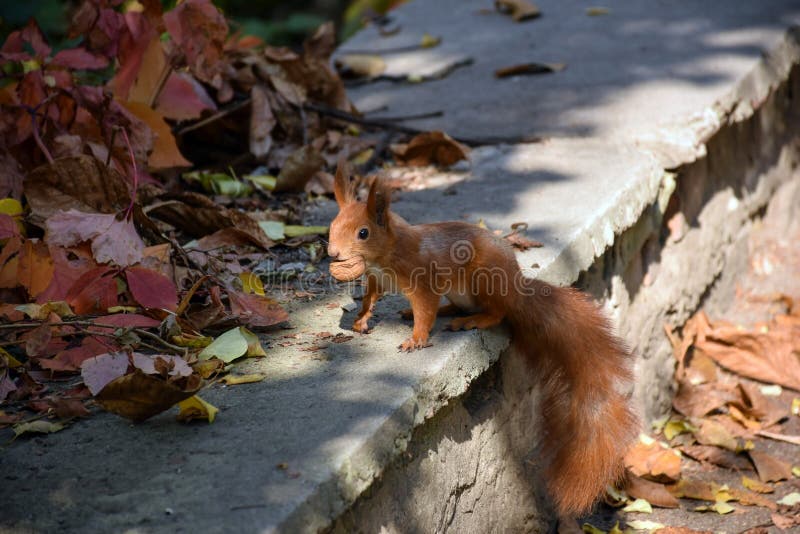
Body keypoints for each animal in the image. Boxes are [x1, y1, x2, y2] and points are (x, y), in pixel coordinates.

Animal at [326, 162, 639, 518]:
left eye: (363, 233)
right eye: (332, 225)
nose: (332, 253)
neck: (388, 252)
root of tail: (516, 290)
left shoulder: (423, 281)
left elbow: (425, 310)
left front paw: (416, 338)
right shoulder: (376, 279)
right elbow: (369, 299)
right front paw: (361, 320)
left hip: (484, 279)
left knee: (497, 313)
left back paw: (470, 320)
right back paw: (443, 312)